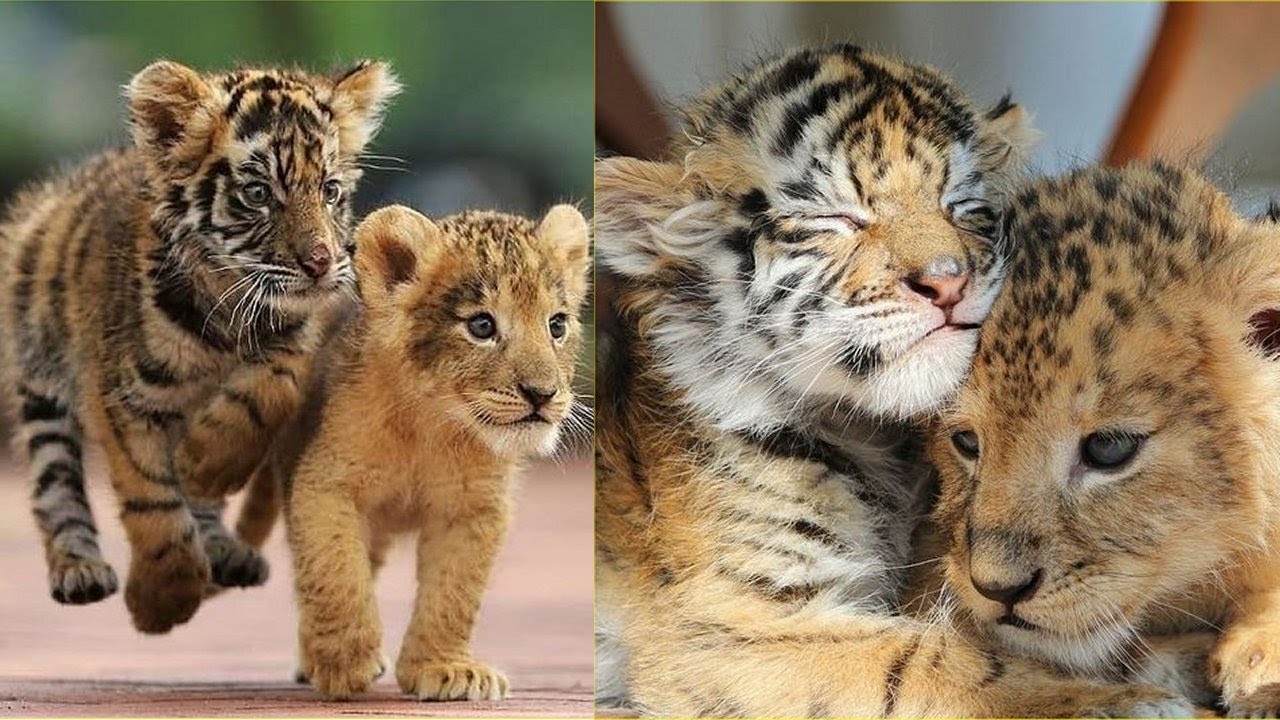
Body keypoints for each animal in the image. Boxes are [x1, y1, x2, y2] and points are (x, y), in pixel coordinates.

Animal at [0, 59, 399, 634]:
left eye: (329, 190)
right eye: (258, 194)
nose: (321, 263)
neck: (227, 315)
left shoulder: (294, 338)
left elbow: (272, 389)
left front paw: (206, 462)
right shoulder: (120, 395)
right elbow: (152, 499)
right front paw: (161, 601)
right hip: (41, 382)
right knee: (55, 483)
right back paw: (78, 568)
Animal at [595, 43, 1193, 717]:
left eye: (961, 206)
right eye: (837, 217)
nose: (948, 280)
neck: (882, 437)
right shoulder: (727, 623)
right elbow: (928, 659)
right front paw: (1128, 698)